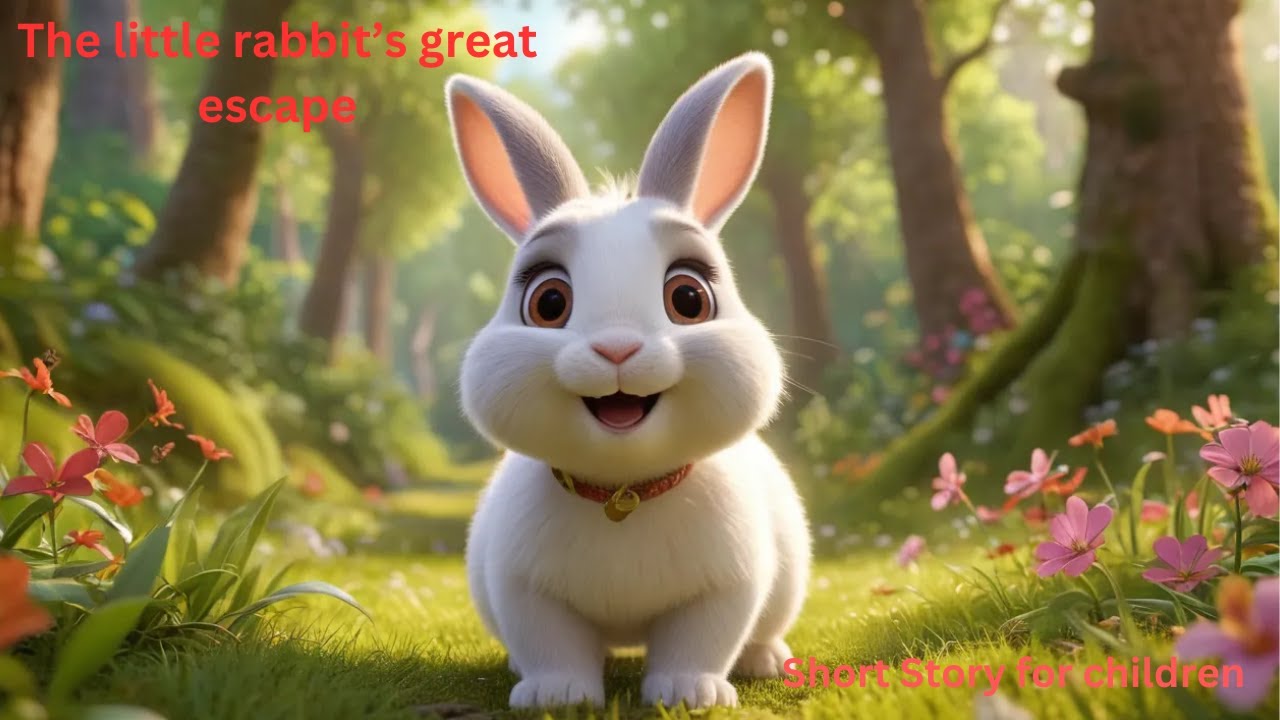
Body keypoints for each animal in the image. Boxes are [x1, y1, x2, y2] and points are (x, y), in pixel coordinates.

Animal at [445, 51, 811, 710]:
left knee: (762, 630)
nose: (617, 347)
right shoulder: (525, 590)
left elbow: (700, 640)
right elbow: (551, 643)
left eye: (689, 298)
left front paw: (690, 694)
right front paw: (556, 697)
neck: (624, 491)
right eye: (548, 302)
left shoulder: (727, 586)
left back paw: (766, 660)